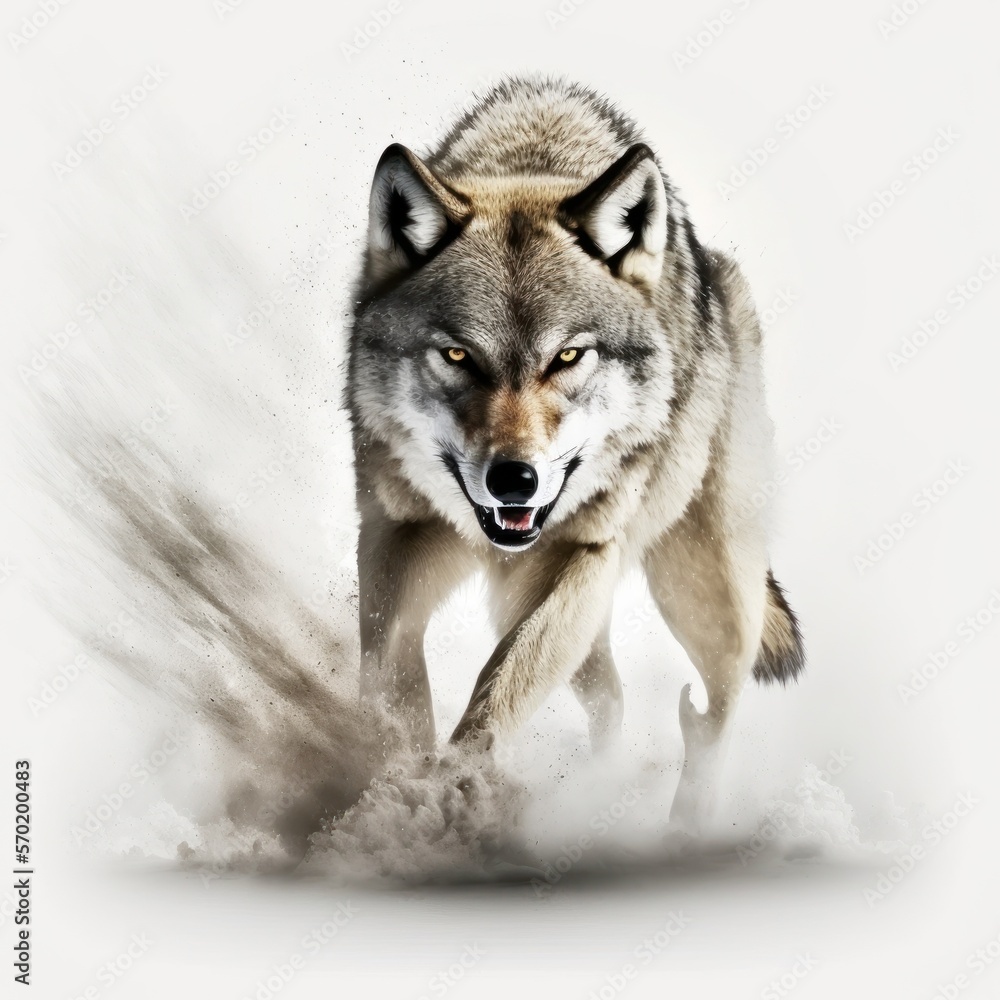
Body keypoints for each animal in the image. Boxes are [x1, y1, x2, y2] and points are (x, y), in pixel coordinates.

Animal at [347, 77, 804, 829]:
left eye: (567, 357)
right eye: (458, 356)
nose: (515, 480)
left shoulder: (584, 552)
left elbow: (498, 691)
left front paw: (447, 792)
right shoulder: (395, 534)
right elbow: (388, 676)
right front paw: (389, 777)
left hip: (701, 591)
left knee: (714, 711)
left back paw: (684, 827)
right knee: (612, 698)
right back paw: (601, 783)